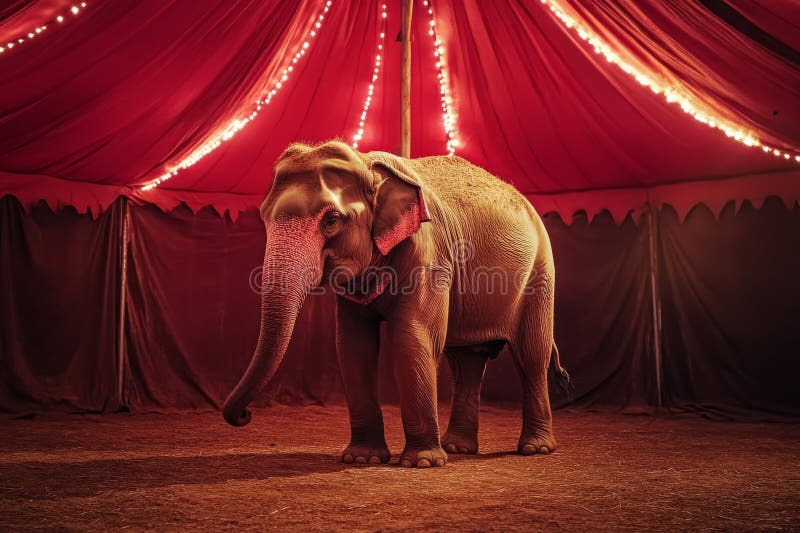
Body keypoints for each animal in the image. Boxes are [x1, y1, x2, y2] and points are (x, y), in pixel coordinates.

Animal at [223, 140, 570, 468]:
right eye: (264, 217)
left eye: (331, 221)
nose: (244, 416)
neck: (367, 164)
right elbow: (353, 345)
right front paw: (362, 458)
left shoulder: (429, 256)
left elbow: (412, 337)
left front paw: (422, 462)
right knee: (467, 361)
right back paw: (458, 448)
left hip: (540, 274)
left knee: (531, 354)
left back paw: (535, 449)